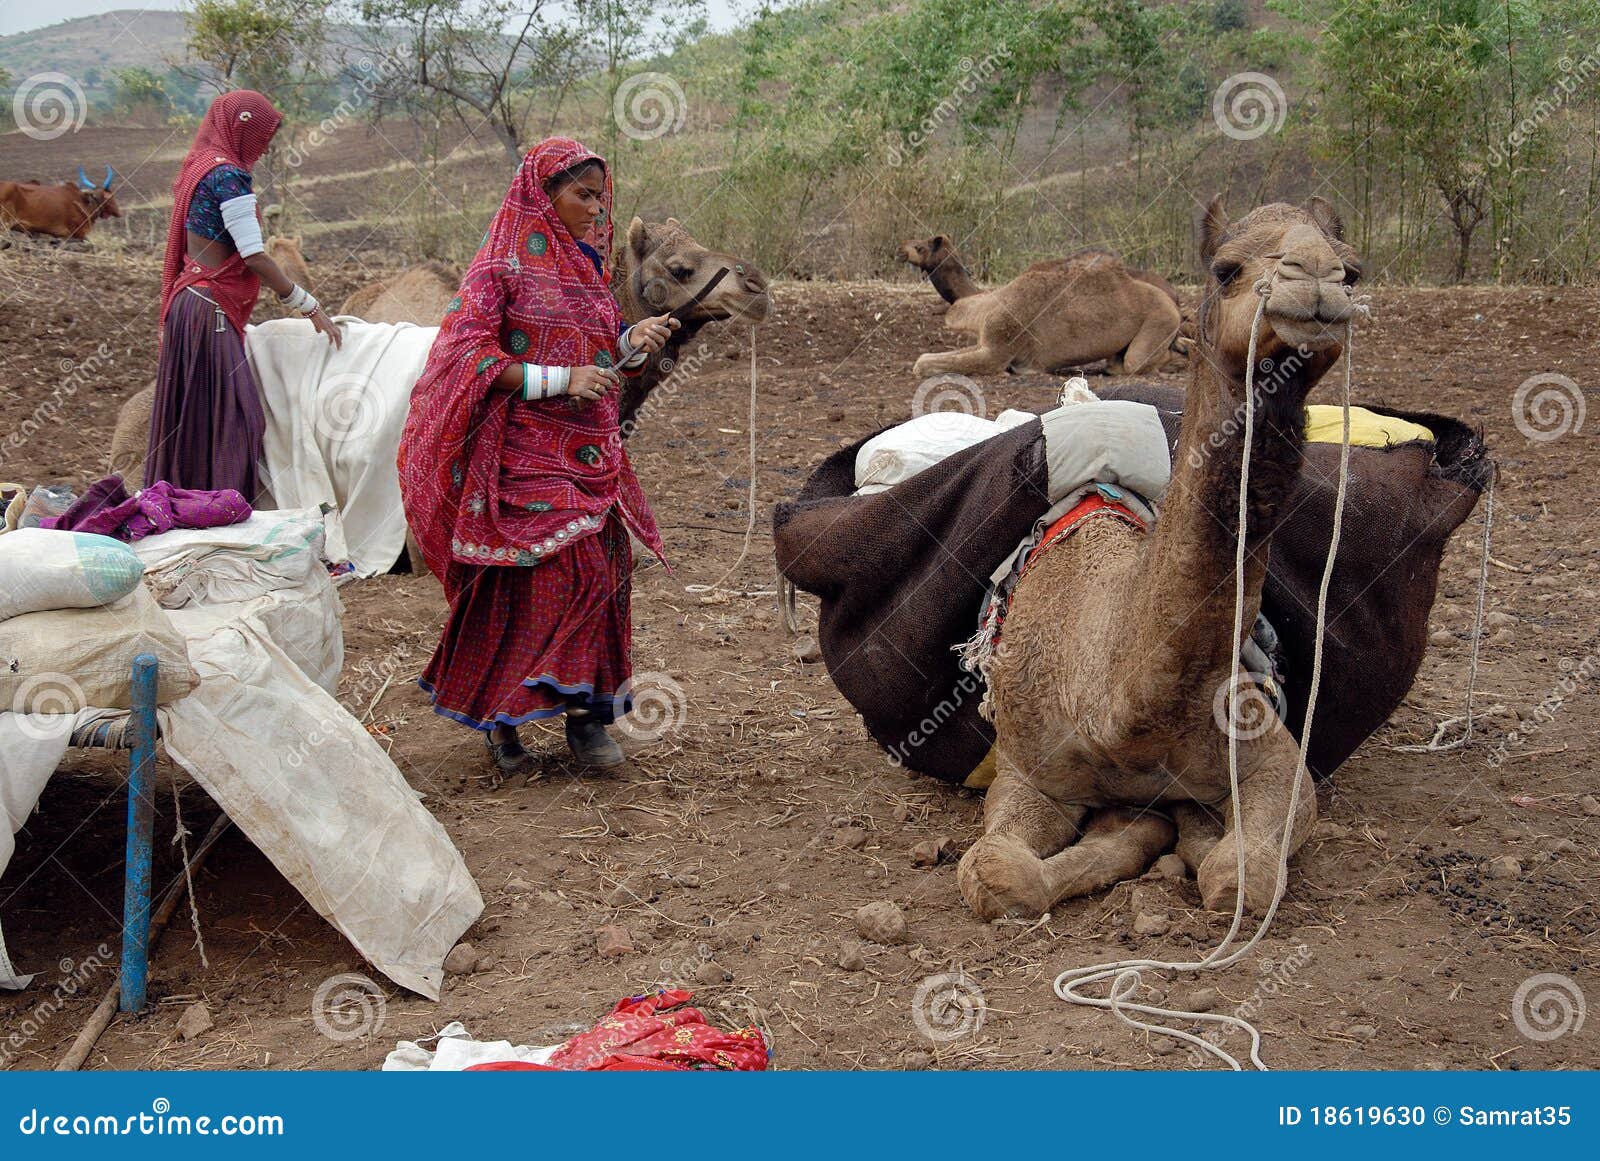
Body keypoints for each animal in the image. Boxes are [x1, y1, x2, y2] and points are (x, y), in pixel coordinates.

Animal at [900, 235, 1186, 378]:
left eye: (920, 246)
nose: (900, 250)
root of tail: (1173, 301)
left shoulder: (997, 350)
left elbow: (925, 363)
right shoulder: (987, 341)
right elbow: (930, 356)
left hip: (1161, 320)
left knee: (1138, 361)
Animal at [957, 196, 1363, 922]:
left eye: (1353, 268)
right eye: (1225, 268)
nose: (1315, 280)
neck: (1124, 707)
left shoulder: (1271, 757)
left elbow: (1239, 874)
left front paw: (1196, 836)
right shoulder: (1027, 771)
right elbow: (999, 873)